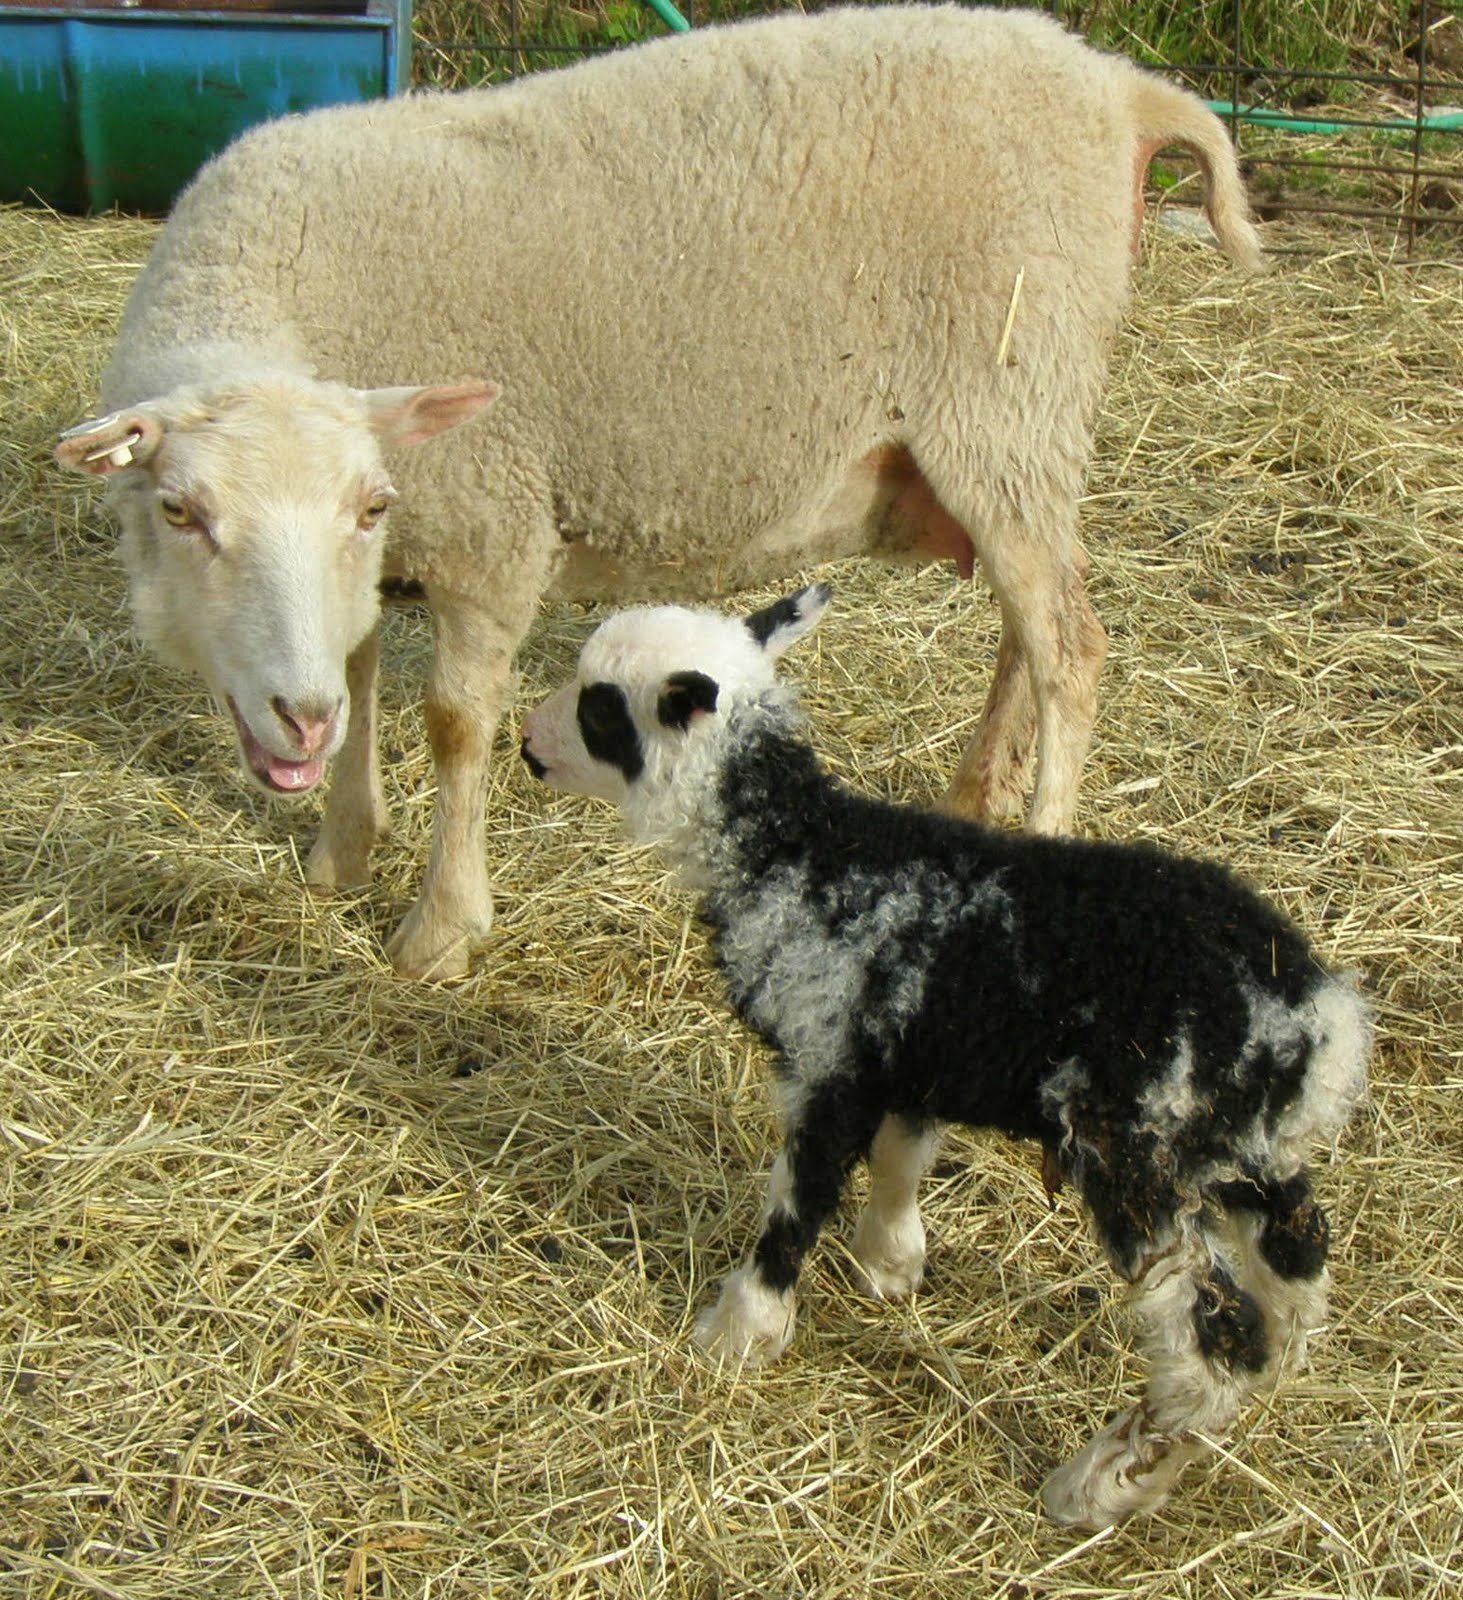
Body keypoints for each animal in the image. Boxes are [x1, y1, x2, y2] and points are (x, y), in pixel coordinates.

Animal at [54, 3, 1263, 979]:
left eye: (365, 505)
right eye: (180, 513)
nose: (291, 724)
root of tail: (1118, 85)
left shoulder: (494, 523)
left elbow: (454, 725)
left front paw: (439, 929)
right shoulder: (396, 551)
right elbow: (355, 674)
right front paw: (340, 849)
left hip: (1008, 396)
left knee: (1069, 650)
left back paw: (1044, 831)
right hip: (1016, 441)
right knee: (1031, 623)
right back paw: (980, 801)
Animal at [518, 585, 1370, 1529]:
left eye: (600, 709)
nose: (525, 744)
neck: (797, 852)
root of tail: (1319, 1018)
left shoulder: (829, 1063)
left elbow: (794, 1209)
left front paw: (738, 1333)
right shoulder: (909, 1049)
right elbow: (902, 1158)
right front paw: (891, 1265)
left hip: (1137, 1151)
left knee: (1216, 1341)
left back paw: (1104, 1484)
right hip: (1242, 1149)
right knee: (1295, 1267)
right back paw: (1249, 1399)